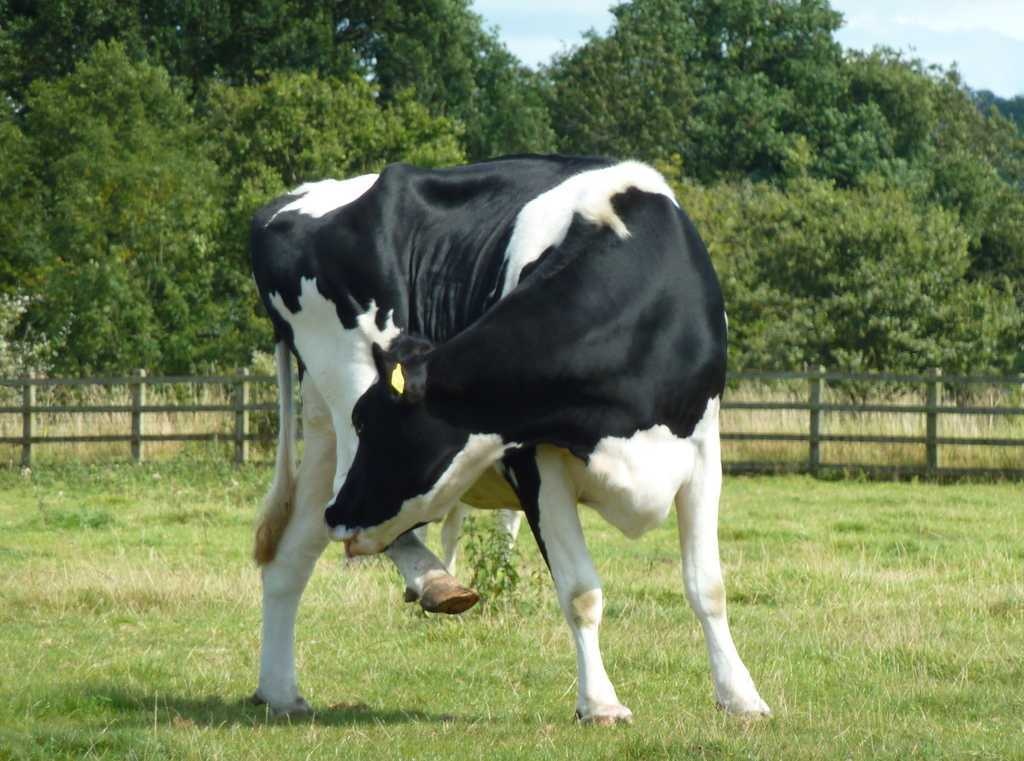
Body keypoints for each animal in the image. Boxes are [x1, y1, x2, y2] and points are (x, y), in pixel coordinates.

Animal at [251, 155, 770, 723]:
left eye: (374, 424)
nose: (340, 516)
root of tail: (287, 201)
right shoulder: (532, 459)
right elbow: (581, 592)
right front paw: (600, 703)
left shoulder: (702, 449)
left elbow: (707, 586)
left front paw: (740, 695)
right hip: (342, 370)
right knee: (351, 510)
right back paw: (433, 580)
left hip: (325, 422)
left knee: (291, 553)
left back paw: (281, 691)